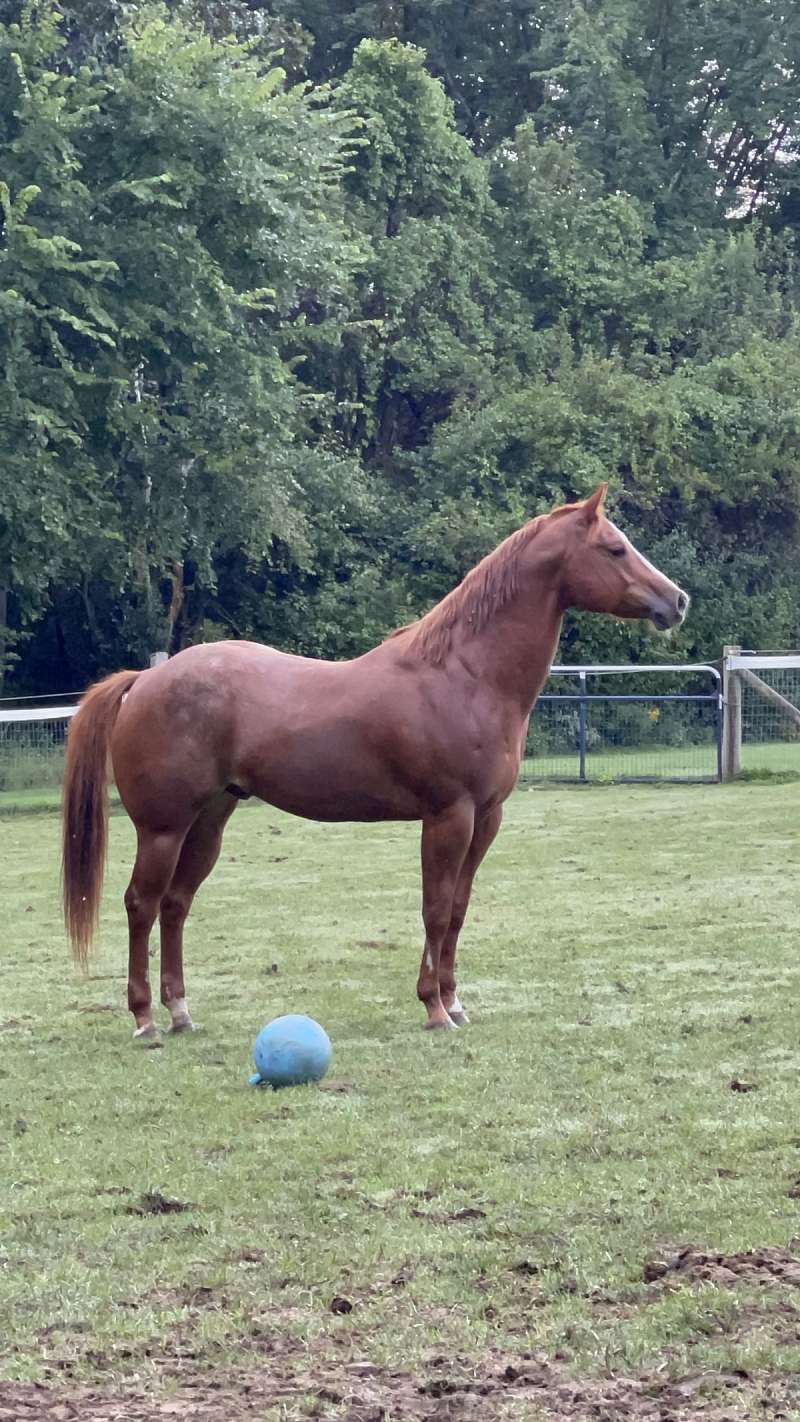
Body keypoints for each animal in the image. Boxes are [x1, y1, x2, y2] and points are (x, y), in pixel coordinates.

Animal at [62, 484, 688, 1041]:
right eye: (614, 548)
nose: (676, 601)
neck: (464, 675)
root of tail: (144, 680)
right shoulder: (448, 816)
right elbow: (434, 909)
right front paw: (433, 1009)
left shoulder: (486, 818)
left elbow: (457, 910)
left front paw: (455, 1003)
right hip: (163, 828)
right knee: (141, 905)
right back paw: (145, 1019)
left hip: (210, 820)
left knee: (175, 905)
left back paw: (181, 1012)